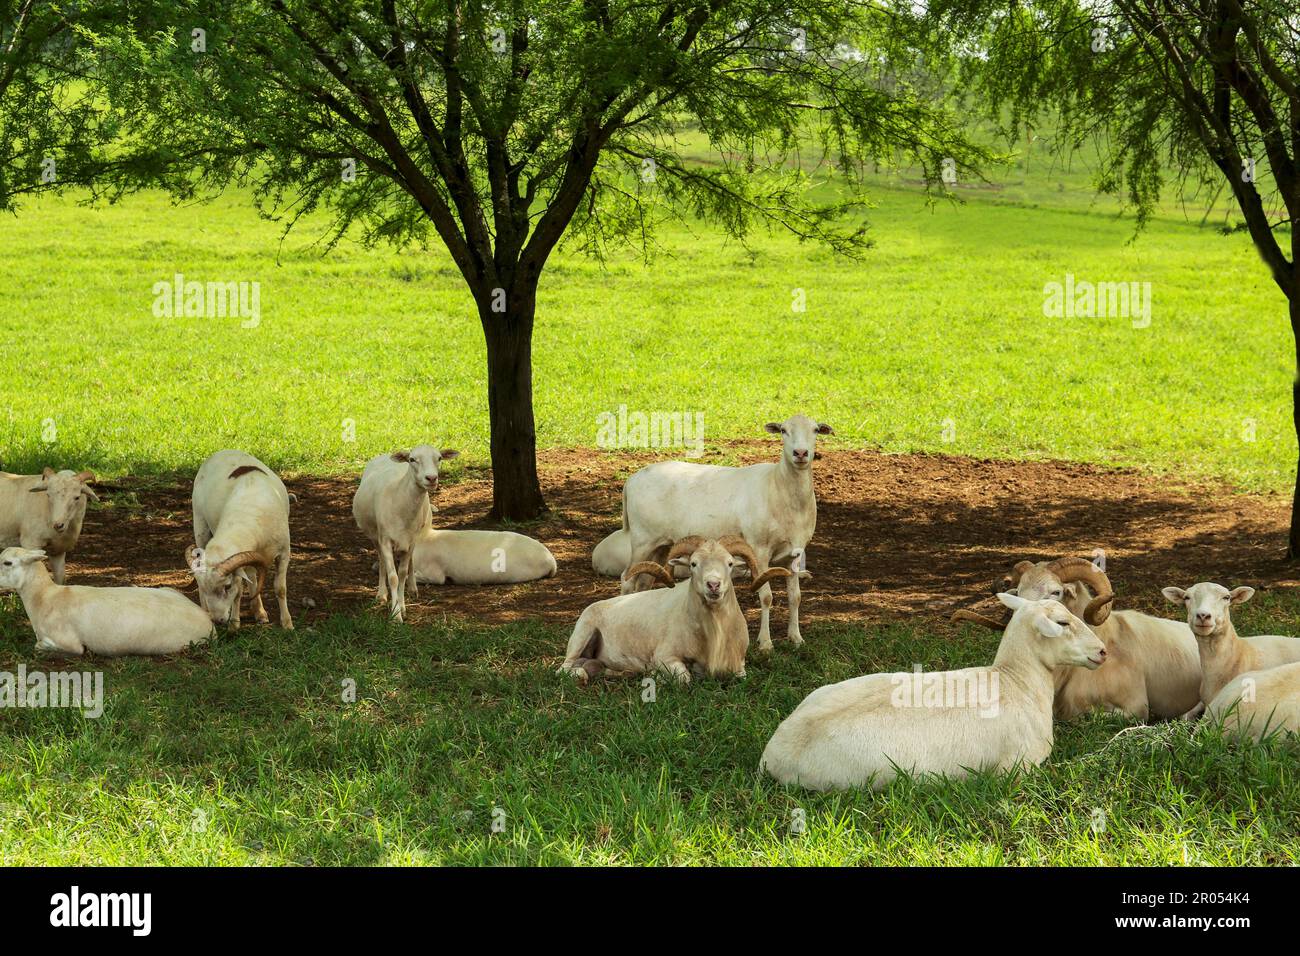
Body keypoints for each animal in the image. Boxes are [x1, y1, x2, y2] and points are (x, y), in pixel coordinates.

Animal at [188, 450, 294, 630]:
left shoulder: (284, 552)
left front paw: (287, 623)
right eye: (203, 586)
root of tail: (222, 451)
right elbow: (239, 591)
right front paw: (234, 624)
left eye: (227, 586)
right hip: (200, 523)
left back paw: (260, 612)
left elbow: (280, 588)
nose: (217, 620)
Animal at [352, 444, 457, 621]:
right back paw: (382, 594)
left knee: (411, 562)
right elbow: (393, 577)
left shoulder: (411, 540)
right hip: (374, 534)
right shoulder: (385, 540)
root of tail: (386, 455)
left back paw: (413, 589)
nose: (431, 478)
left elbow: (401, 573)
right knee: (381, 560)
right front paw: (395, 614)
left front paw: (402, 607)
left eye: (440, 458)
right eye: (412, 459)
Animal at [558, 536, 791, 684]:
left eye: (730, 563)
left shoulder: (739, 667)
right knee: (563, 669)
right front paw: (658, 676)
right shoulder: (665, 656)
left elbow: (741, 677)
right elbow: (685, 679)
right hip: (582, 634)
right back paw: (582, 675)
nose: (713, 585)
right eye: (694, 564)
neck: (713, 635)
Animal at [616, 414, 831, 652]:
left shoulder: (795, 552)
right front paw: (765, 643)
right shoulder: (759, 549)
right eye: (783, 430)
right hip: (641, 540)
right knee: (627, 579)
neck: (778, 486)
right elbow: (766, 596)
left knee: (644, 581)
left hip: (660, 543)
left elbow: (795, 597)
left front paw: (796, 638)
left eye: (815, 430)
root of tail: (631, 480)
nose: (800, 453)